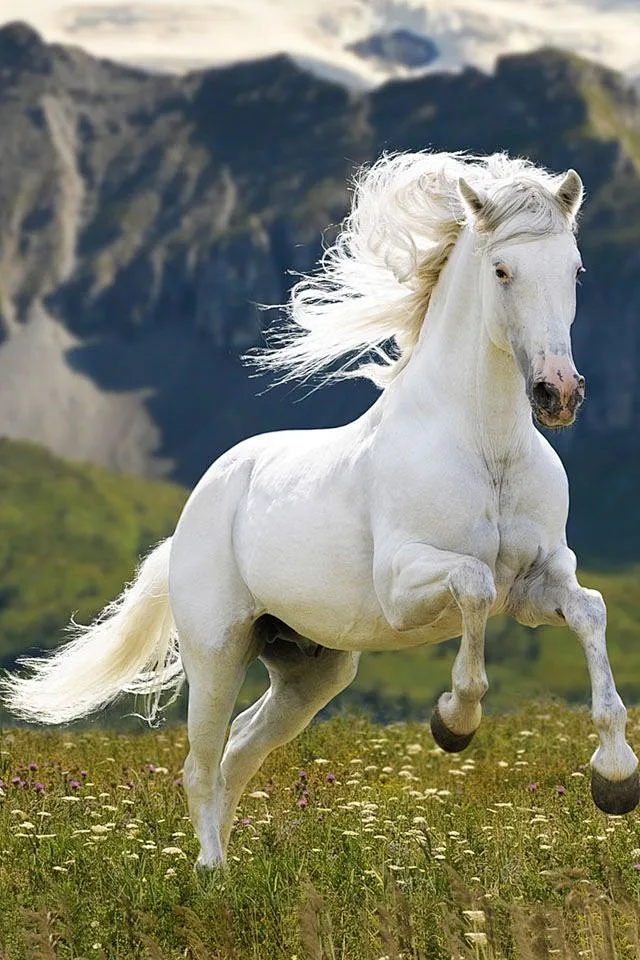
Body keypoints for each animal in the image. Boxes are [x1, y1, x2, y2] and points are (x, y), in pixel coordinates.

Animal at [3, 151, 638, 871]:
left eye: (575, 269)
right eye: (503, 269)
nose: (558, 393)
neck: (487, 448)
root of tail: (195, 509)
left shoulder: (535, 584)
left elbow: (591, 610)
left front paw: (615, 779)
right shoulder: (406, 584)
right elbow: (473, 585)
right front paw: (455, 721)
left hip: (312, 668)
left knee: (240, 749)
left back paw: (227, 869)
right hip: (218, 651)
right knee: (200, 763)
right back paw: (211, 873)